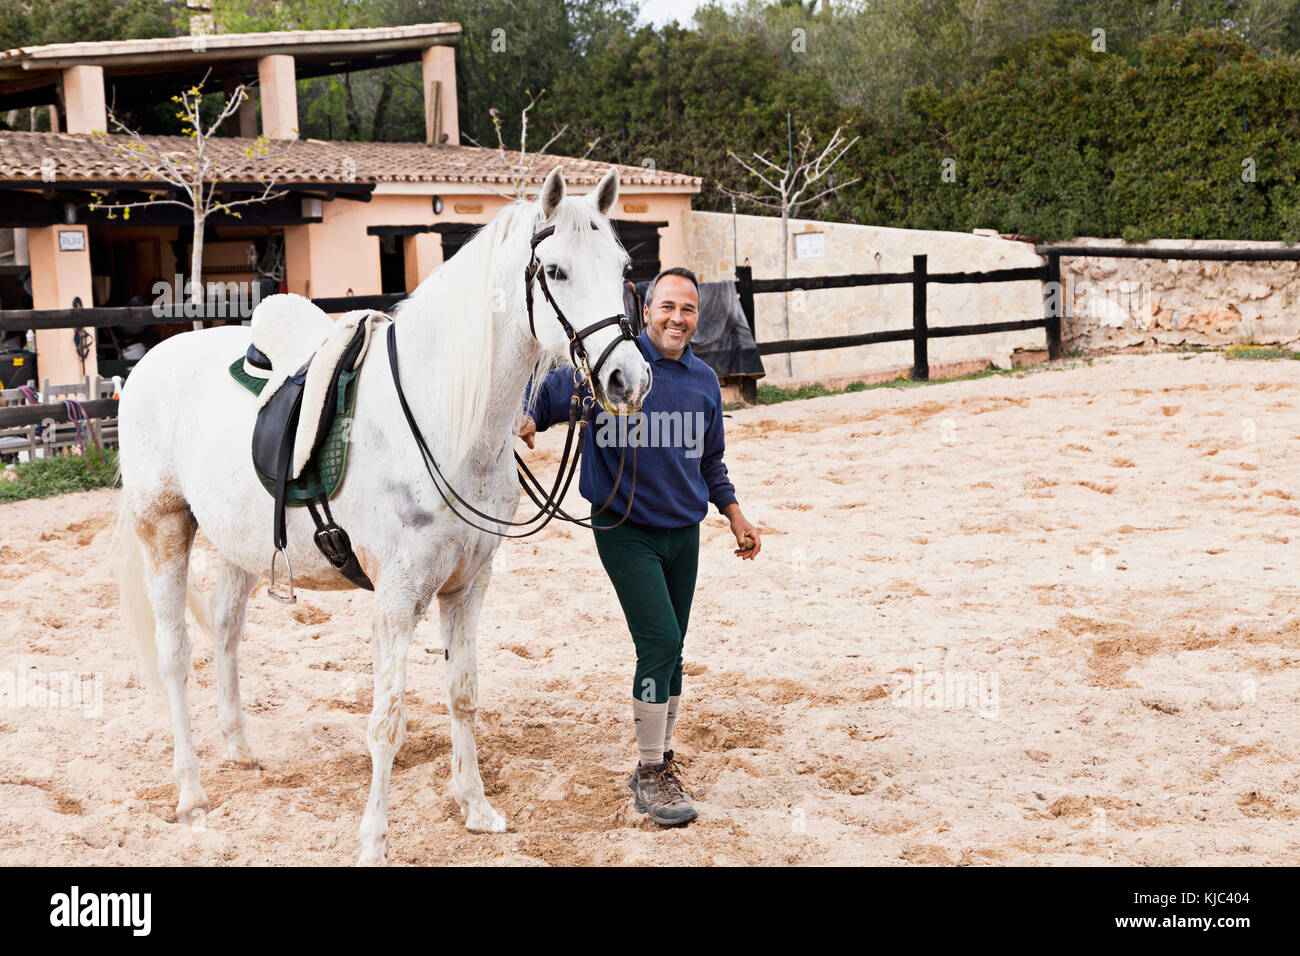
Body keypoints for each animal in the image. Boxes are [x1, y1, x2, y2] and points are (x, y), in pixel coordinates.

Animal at [115, 166, 652, 864]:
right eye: (556, 271)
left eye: (621, 266)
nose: (627, 381)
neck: (443, 420)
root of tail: (152, 361)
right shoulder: (398, 596)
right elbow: (387, 720)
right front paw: (373, 839)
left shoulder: (468, 586)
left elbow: (462, 694)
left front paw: (475, 807)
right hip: (164, 528)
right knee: (176, 654)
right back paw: (191, 792)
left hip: (241, 548)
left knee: (227, 635)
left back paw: (240, 750)